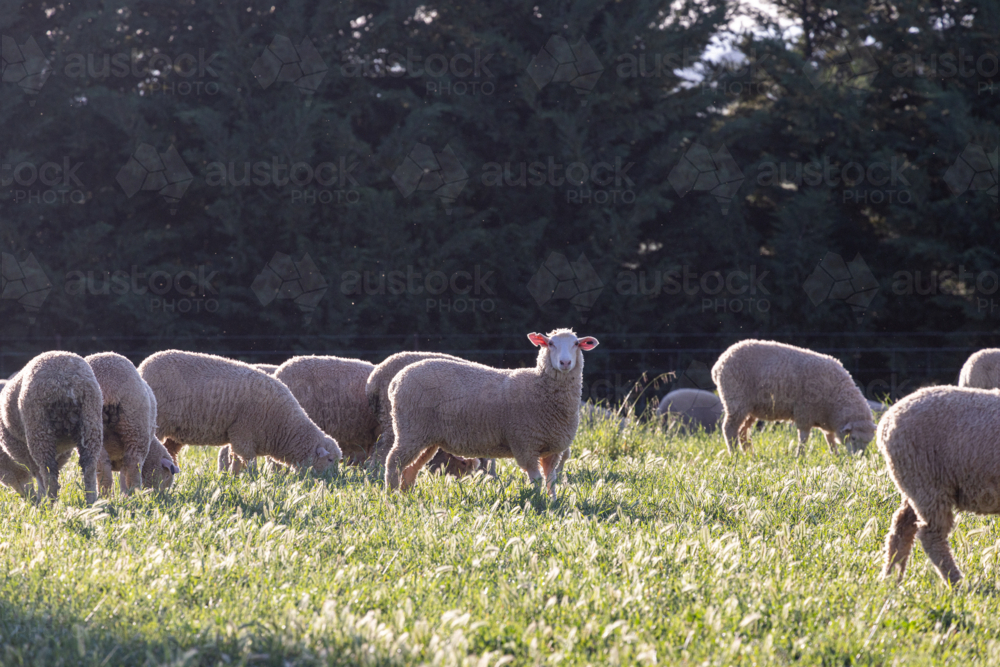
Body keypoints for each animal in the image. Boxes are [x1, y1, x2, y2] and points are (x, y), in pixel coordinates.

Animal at [0, 351, 103, 504]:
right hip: (91, 422)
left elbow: (38, 475)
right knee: (89, 467)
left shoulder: (25, 452)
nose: (27, 499)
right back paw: (92, 502)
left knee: (48, 473)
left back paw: (49, 503)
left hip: (39, 429)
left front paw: (40, 498)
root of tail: (64, 380)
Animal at [138, 350, 341, 473]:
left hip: (174, 432)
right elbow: (249, 464)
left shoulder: (240, 438)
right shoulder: (243, 435)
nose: (335, 481)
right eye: (330, 460)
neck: (284, 427)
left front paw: (232, 480)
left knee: (170, 451)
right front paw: (250, 482)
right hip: (158, 423)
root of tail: (144, 365)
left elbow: (235, 461)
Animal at [384, 329, 599, 496]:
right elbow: (537, 479)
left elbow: (551, 480)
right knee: (393, 462)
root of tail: (396, 381)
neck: (539, 386)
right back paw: (391, 498)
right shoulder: (525, 444)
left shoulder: (553, 449)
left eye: (576, 344)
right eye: (551, 343)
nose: (565, 363)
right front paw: (538, 503)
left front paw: (552, 503)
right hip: (411, 429)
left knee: (410, 469)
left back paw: (407, 497)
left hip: (426, 438)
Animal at [711, 339, 875, 456]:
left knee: (743, 432)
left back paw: (750, 455)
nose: (858, 458)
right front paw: (799, 456)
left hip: (750, 408)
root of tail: (719, 363)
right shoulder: (805, 413)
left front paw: (836, 456)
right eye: (853, 438)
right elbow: (804, 438)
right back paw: (735, 455)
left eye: (869, 441)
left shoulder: (825, 419)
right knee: (729, 429)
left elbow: (830, 439)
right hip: (736, 401)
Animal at [878, 385, 1000, 585]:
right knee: (931, 535)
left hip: (914, 484)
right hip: (927, 482)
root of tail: (886, 422)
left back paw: (891, 577)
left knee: (901, 526)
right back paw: (956, 582)